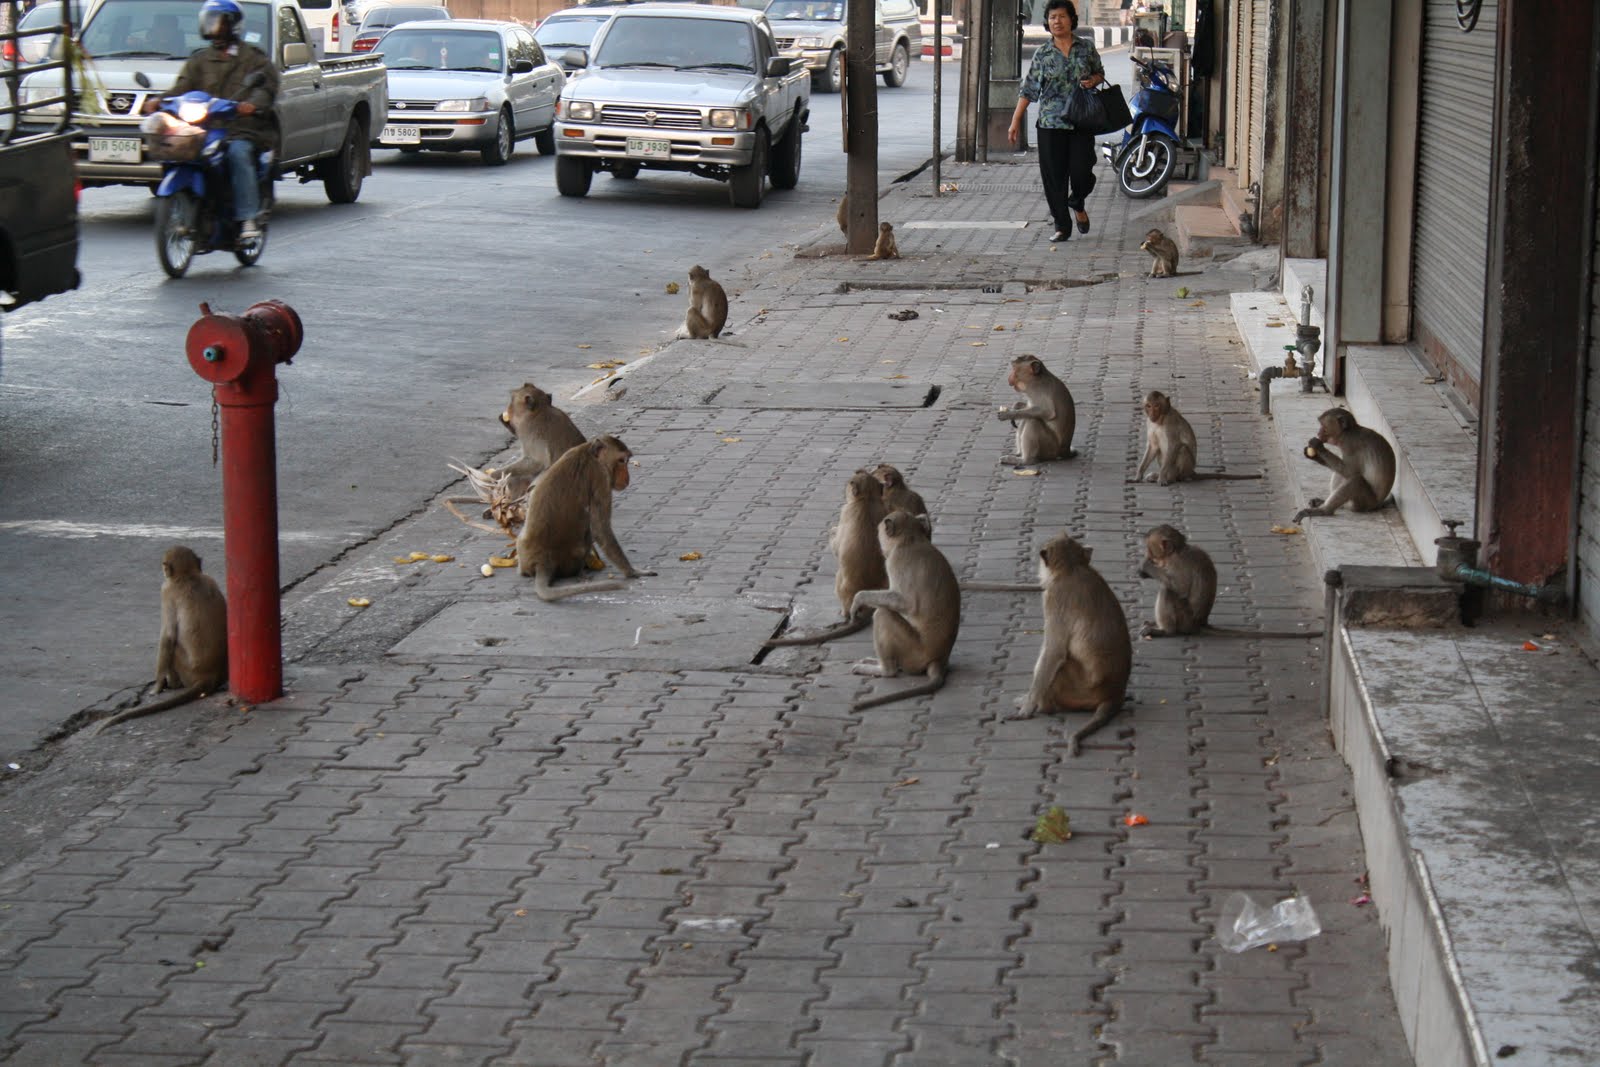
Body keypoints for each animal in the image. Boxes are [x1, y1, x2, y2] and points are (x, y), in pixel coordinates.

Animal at [94, 546, 228, 734]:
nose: (163, 571)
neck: (188, 575)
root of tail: (210, 675)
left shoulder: (166, 591)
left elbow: (168, 637)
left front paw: (156, 687)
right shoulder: (209, 579)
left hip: (185, 669)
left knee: (173, 647)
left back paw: (173, 684)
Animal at [516, 435, 654, 601]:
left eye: (626, 460)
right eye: (622, 460)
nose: (627, 478)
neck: (589, 453)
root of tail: (543, 561)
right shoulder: (601, 478)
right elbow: (600, 528)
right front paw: (632, 572)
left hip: (523, 550)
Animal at [846, 510, 961, 711]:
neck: (911, 539)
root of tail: (938, 658)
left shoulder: (896, 561)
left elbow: (906, 603)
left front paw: (859, 599)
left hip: (913, 652)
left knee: (882, 614)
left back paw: (886, 670)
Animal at [1009, 533, 1133, 757]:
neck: (1071, 567)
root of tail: (1115, 693)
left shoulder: (1054, 597)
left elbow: (1054, 652)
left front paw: (1027, 707)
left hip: (1078, 691)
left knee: (1061, 664)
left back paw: (1045, 707)